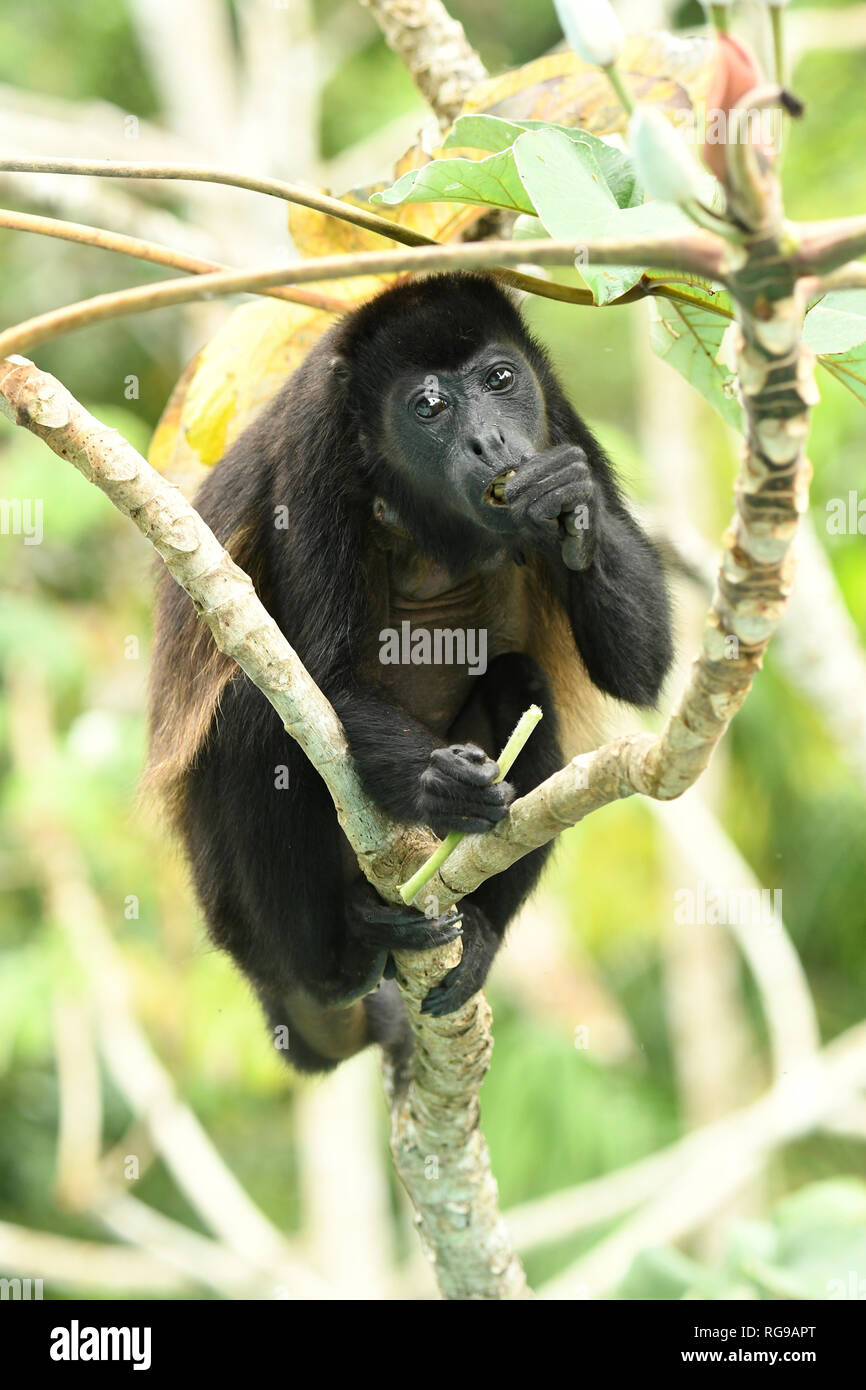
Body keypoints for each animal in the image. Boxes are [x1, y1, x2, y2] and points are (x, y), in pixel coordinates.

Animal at [147, 272, 673, 1075]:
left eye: (500, 379)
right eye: (429, 407)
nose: (491, 441)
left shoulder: (559, 417)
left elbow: (642, 666)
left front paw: (570, 500)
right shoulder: (314, 451)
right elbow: (323, 676)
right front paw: (440, 782)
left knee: (522, 680)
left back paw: (475, 938)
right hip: (231, 907)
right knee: (254, 719)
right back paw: (336, 961)